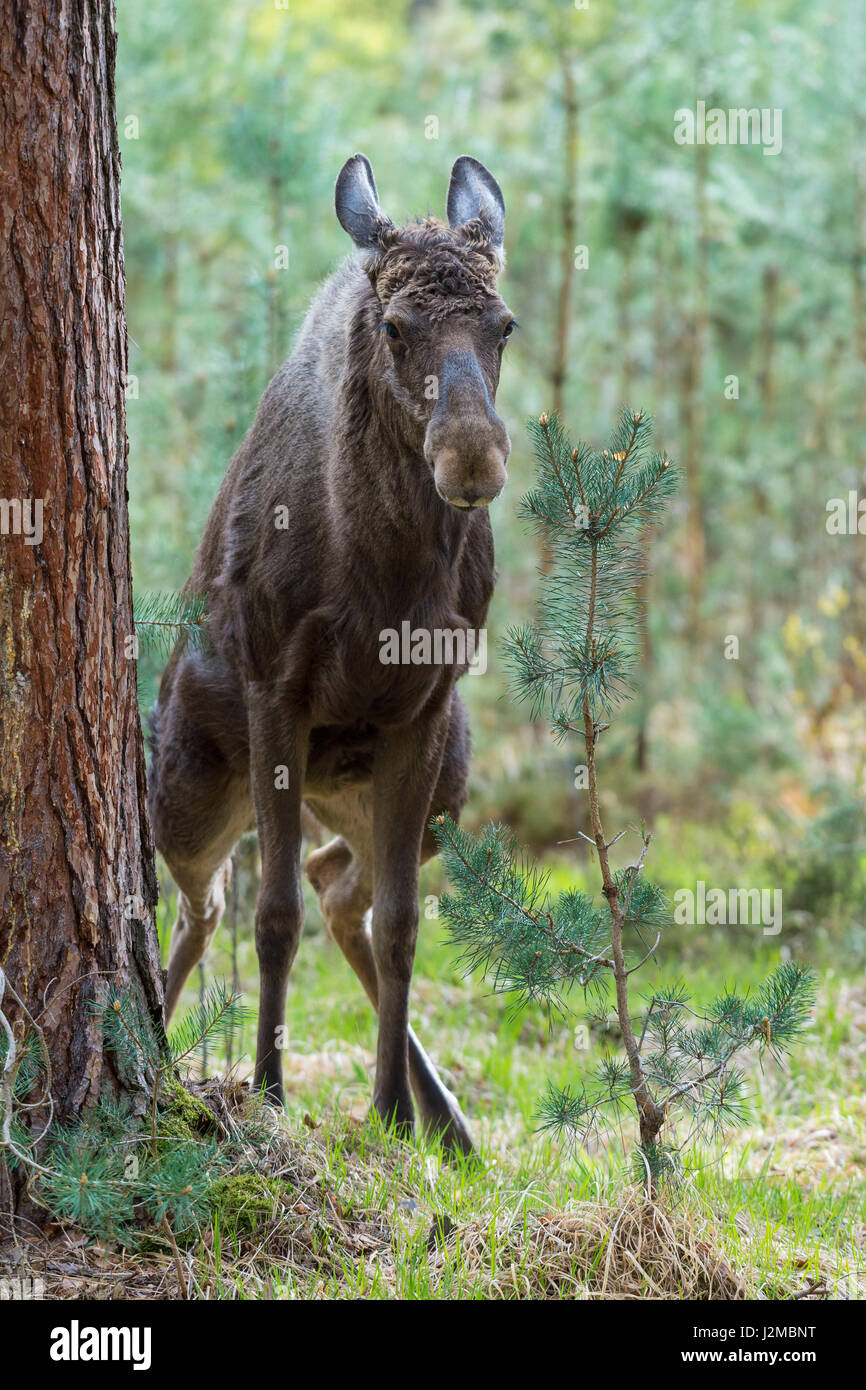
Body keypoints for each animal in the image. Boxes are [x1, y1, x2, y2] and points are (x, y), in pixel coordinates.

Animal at [147, 153, 514, 1155]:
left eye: (504, 324)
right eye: (394, 325)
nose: (473, 459)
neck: (385, 569)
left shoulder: (426, 706)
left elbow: (402, 925)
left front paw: (388, 1110)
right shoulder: (279, 687)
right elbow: (274, 918)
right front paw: (269, 1091)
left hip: (440, 789)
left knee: (338, 885)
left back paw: (443, 1115)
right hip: (190, 791)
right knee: (203, 905)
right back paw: (158, 1039)